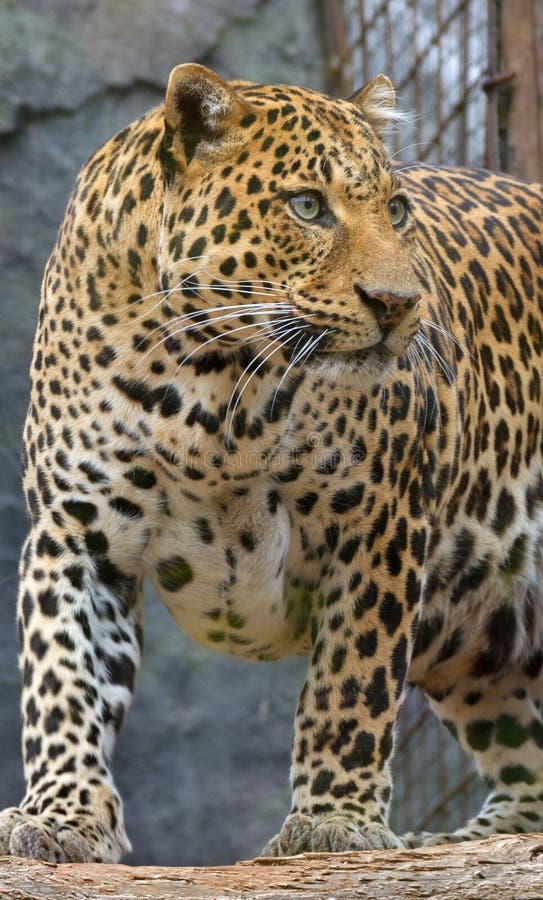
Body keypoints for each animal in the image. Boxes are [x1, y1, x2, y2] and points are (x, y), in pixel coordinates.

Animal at [3, 61, 543, 863]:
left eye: (396, 210)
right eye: (307, 206)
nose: (397, 304)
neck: (209, 384)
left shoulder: (377, 522)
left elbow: (351, 679)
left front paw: (335, 820)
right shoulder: (76, 529)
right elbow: (61, 675)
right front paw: (60, 815)